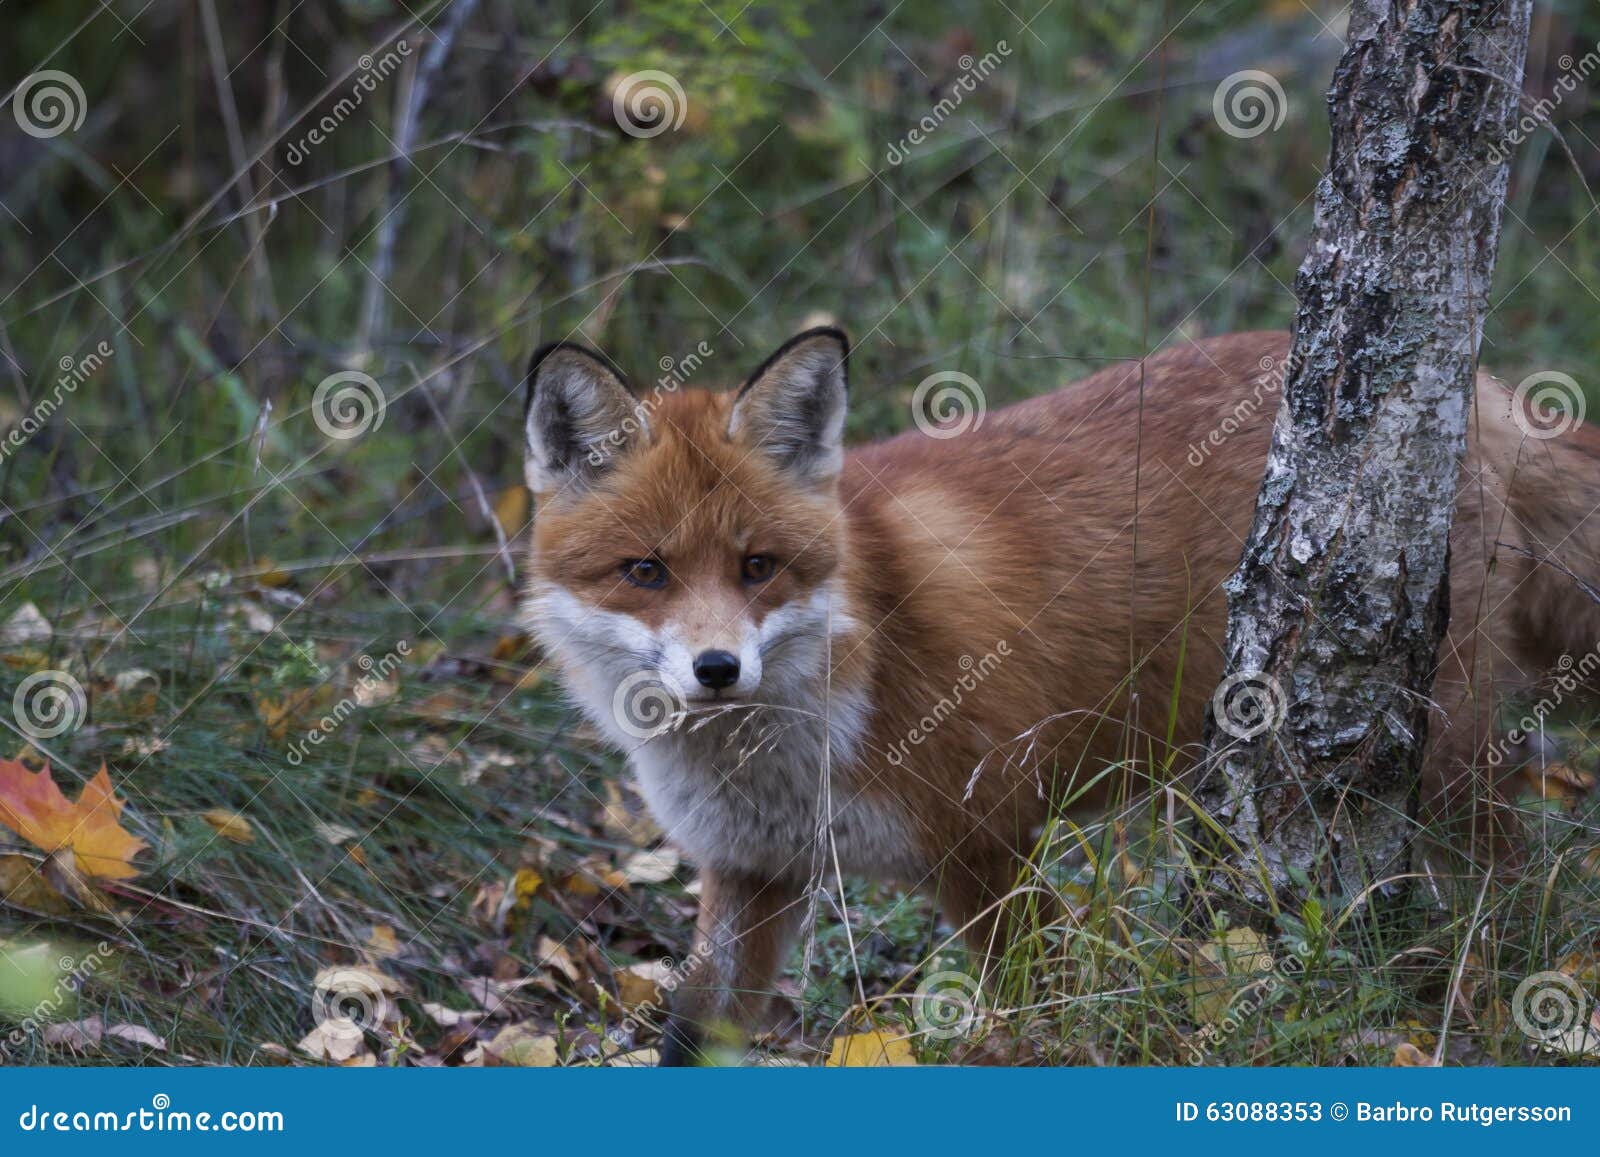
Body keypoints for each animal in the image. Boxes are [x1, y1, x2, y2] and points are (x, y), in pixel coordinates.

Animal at [518, 327, 1600, 1064]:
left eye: (757, 566)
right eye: (646, 570)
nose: (716, 670)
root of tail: (1487, 390)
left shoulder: (987, 848)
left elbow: (1027, 1023)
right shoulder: (752, 872)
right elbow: (692, 1030)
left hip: (1439, 753)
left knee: (1512, 879)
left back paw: (1494, 1000)